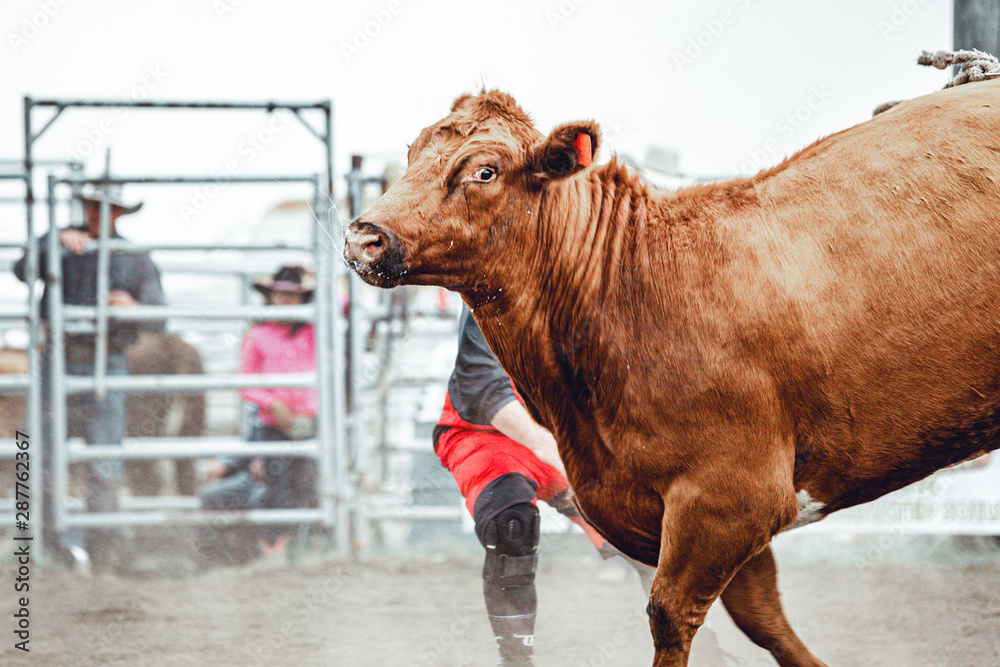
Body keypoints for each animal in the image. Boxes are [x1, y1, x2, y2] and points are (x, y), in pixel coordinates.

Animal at [343, 78, 1000, 666]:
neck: (632, 285)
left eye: (484, 171)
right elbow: (766, 623)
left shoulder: (730, 497)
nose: (363, 236)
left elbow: (673, 613)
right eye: (413, 151)